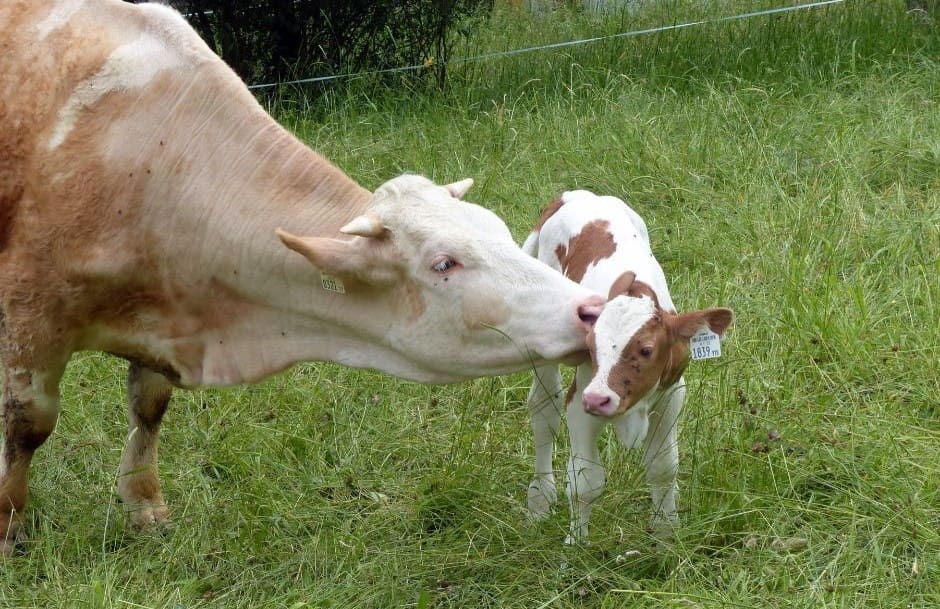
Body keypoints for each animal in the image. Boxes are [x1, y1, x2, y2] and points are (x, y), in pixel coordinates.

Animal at [0, 0, 606, 554]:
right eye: (443, 264)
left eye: (499, 230)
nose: (590, 310)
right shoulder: (29, 313)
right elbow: (29, 423)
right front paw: (9, 526)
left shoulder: (161, 320)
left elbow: (149, 407)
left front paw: (144, 506)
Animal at [522, 190, 733, 544]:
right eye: (591, 345)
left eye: (646, 350)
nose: (599, 399)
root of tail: (575, 195)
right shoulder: (582, 399)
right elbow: (584, 481)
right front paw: (576, 544)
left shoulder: (671, 395)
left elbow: (663, 468)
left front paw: (666, 534)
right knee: (544, 410)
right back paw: (540, 498)